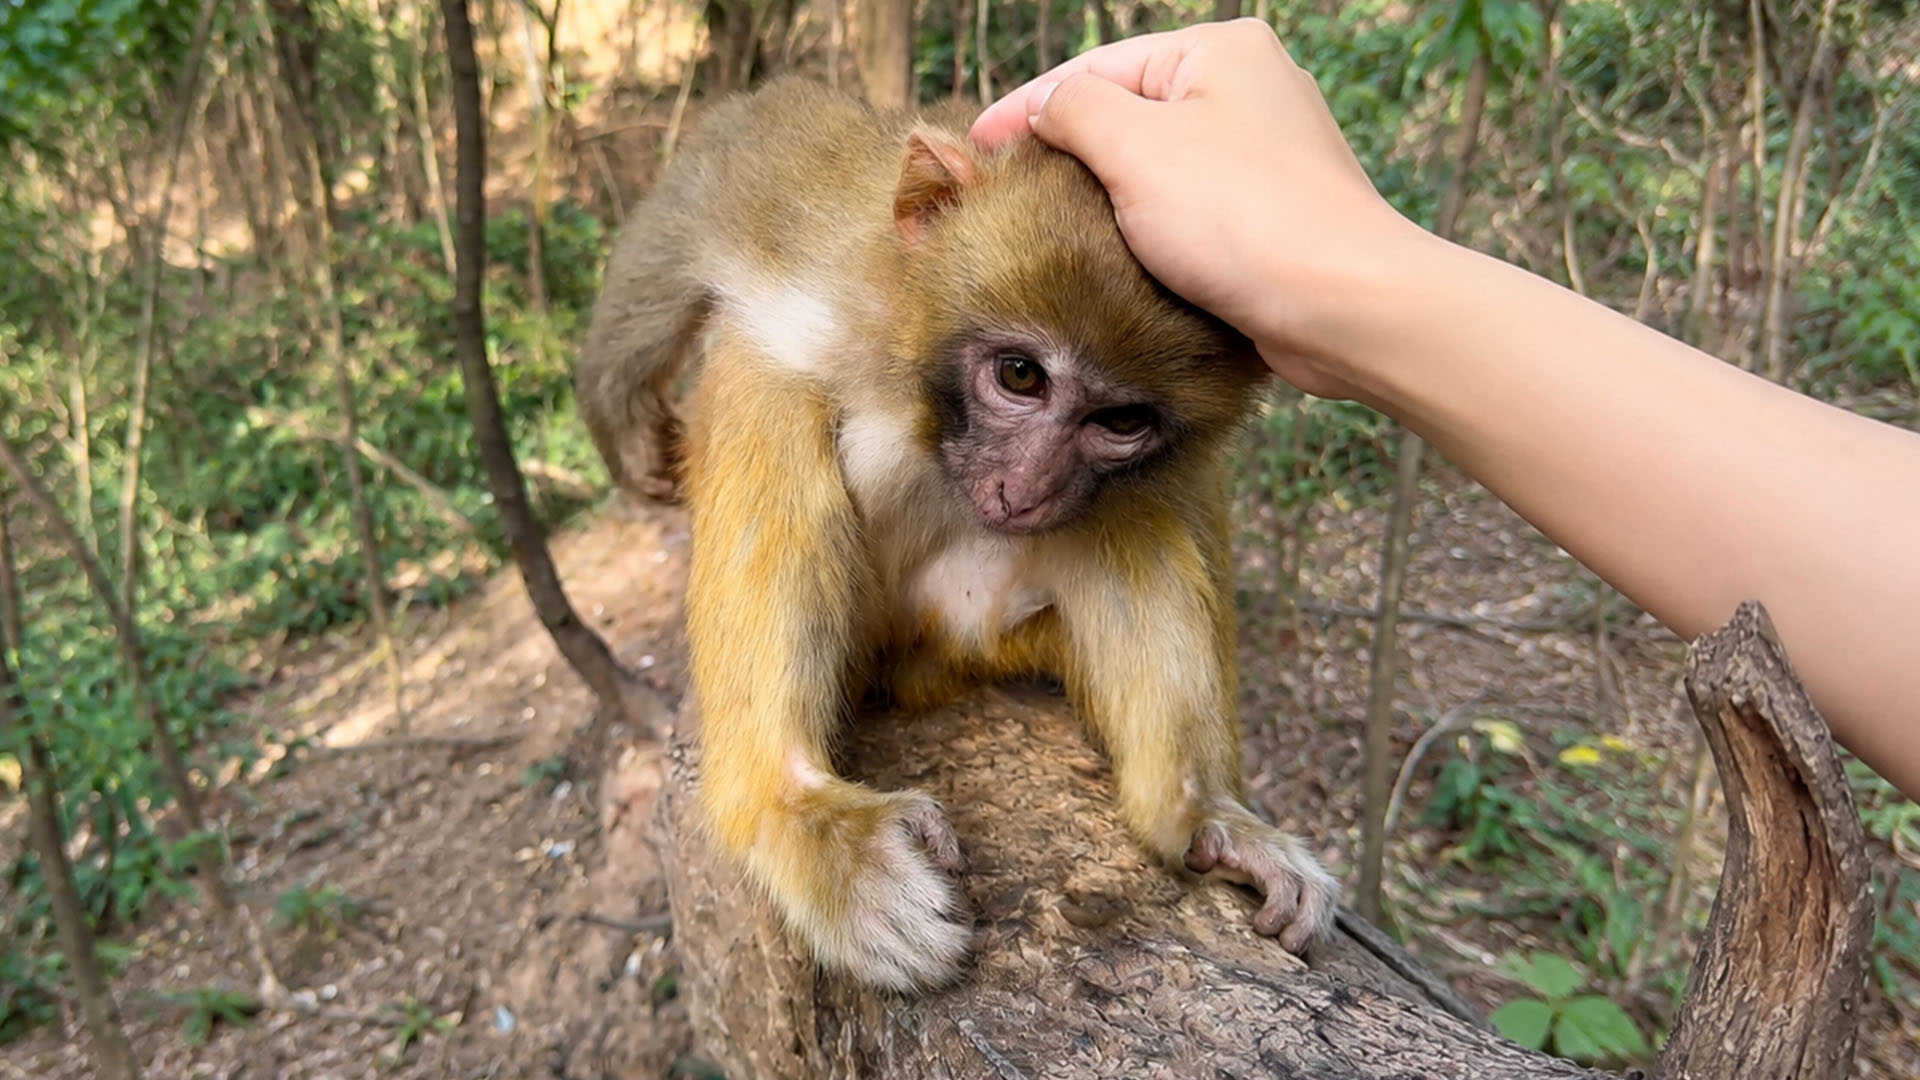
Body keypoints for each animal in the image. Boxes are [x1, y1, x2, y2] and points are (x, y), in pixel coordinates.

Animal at [576, 76, 1340, 991]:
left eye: (1120, 422)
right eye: (1019, 375)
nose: (1027, 491)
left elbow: (1180, 495)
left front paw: (1221, 807)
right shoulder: (824, 230)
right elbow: (723, 165)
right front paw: (617, 415)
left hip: (987, 632)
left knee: (1127, 515)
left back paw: (1190, 817)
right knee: (765, 379)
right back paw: (790, 806)